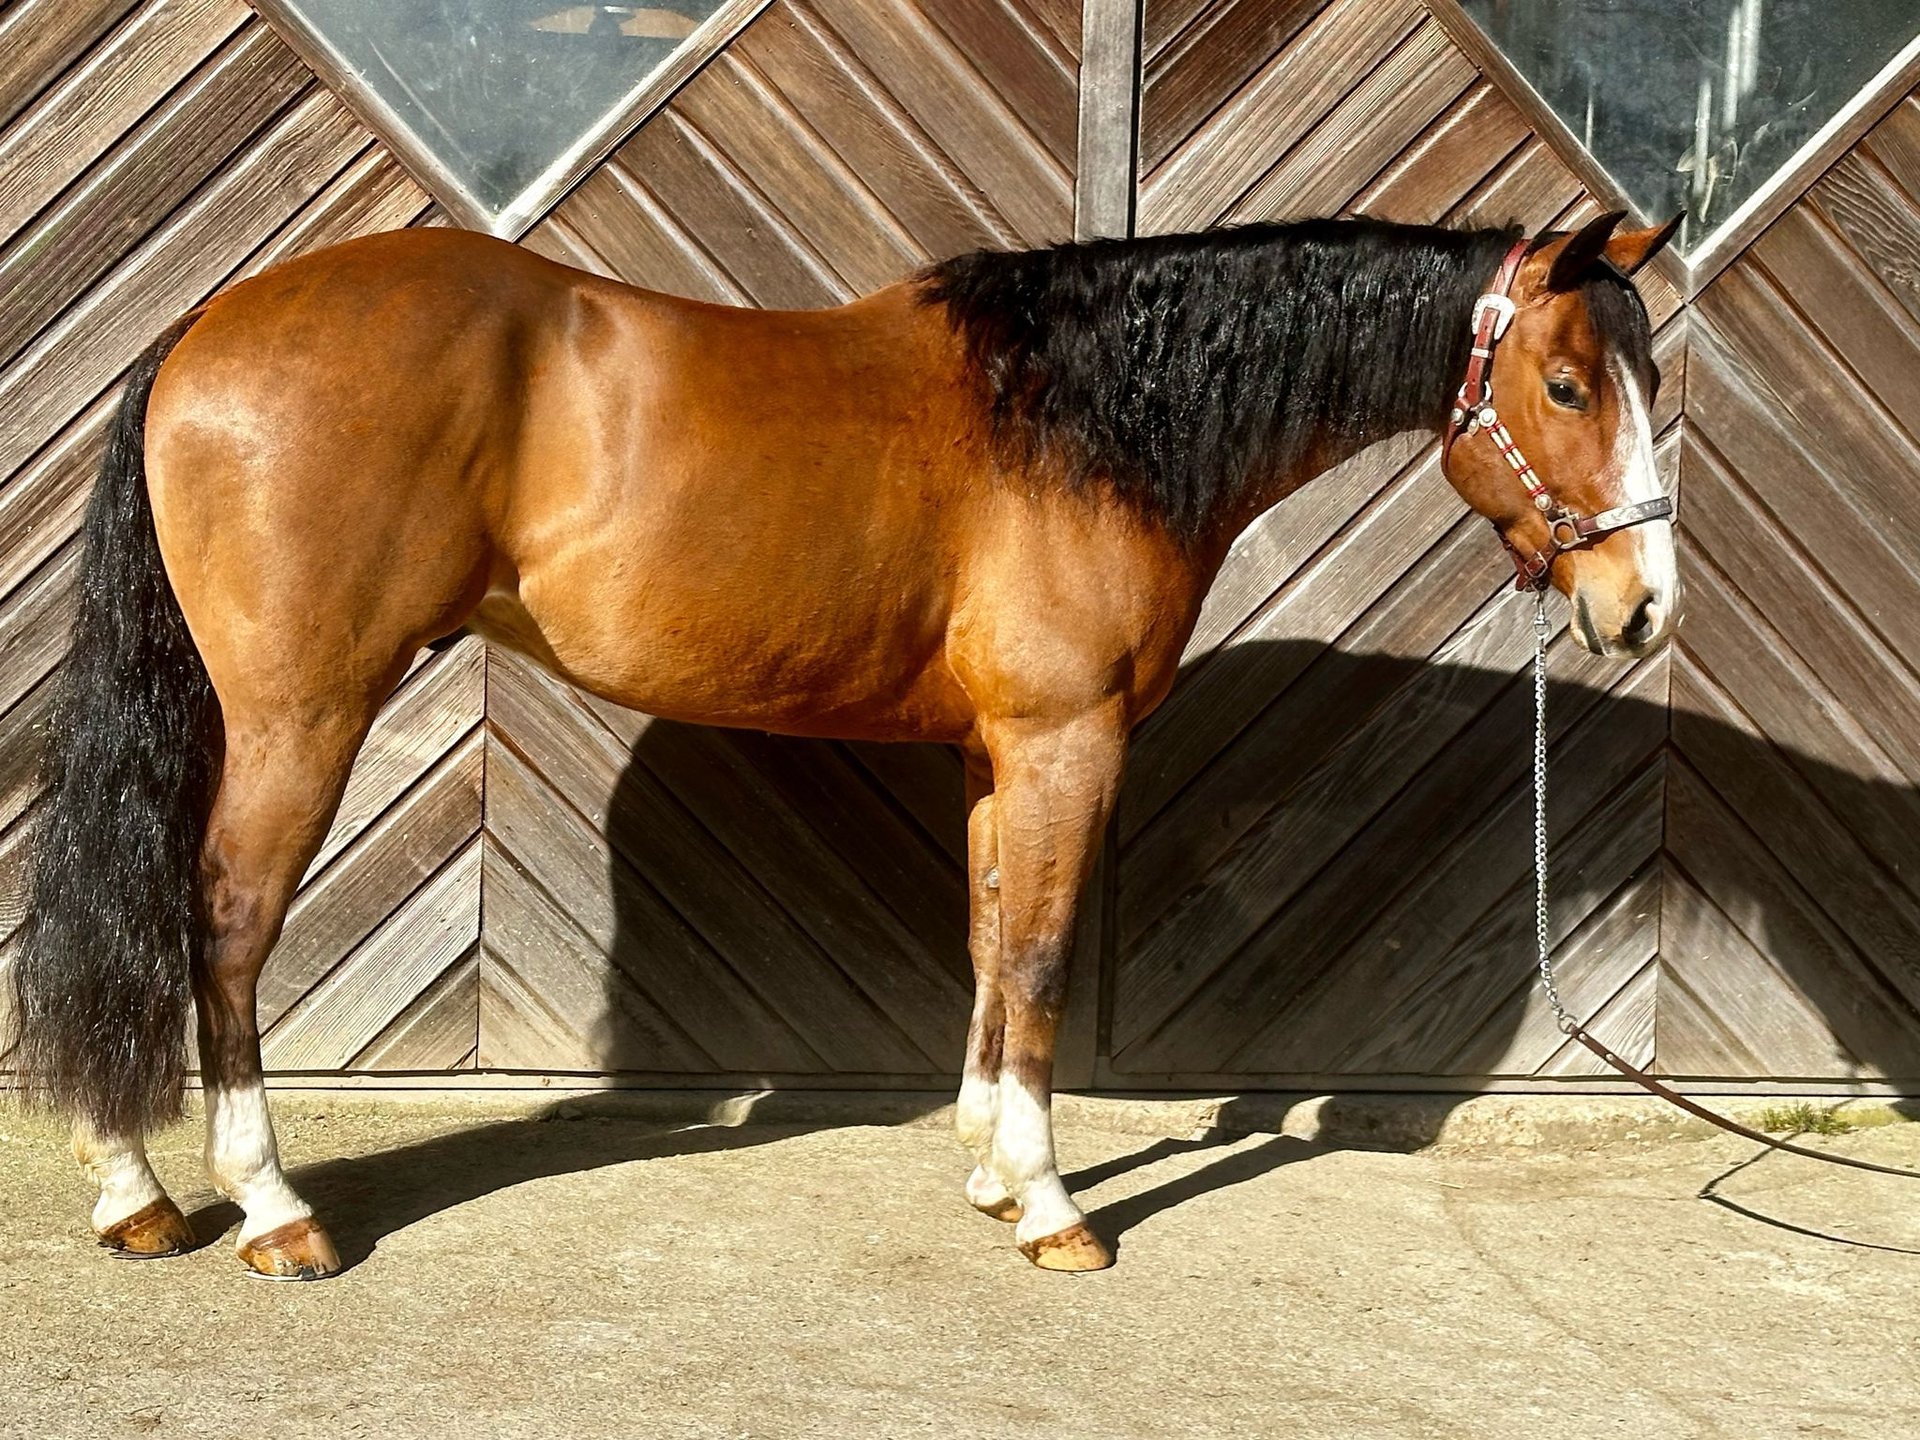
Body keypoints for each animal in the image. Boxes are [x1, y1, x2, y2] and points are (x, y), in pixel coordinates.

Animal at [7, 208, 1680, 1279]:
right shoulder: (1068, 743)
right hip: (302, 716)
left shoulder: (1002, 753)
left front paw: (995, 1171)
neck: (1084, 421)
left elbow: (996, 940)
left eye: (1649, 377)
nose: (1644, 606)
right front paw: (1055, 1208)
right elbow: (1045, 953)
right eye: (1565, 382)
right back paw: (270, 1210)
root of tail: (207, 327)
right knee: (221, 925)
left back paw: (132, 1193)